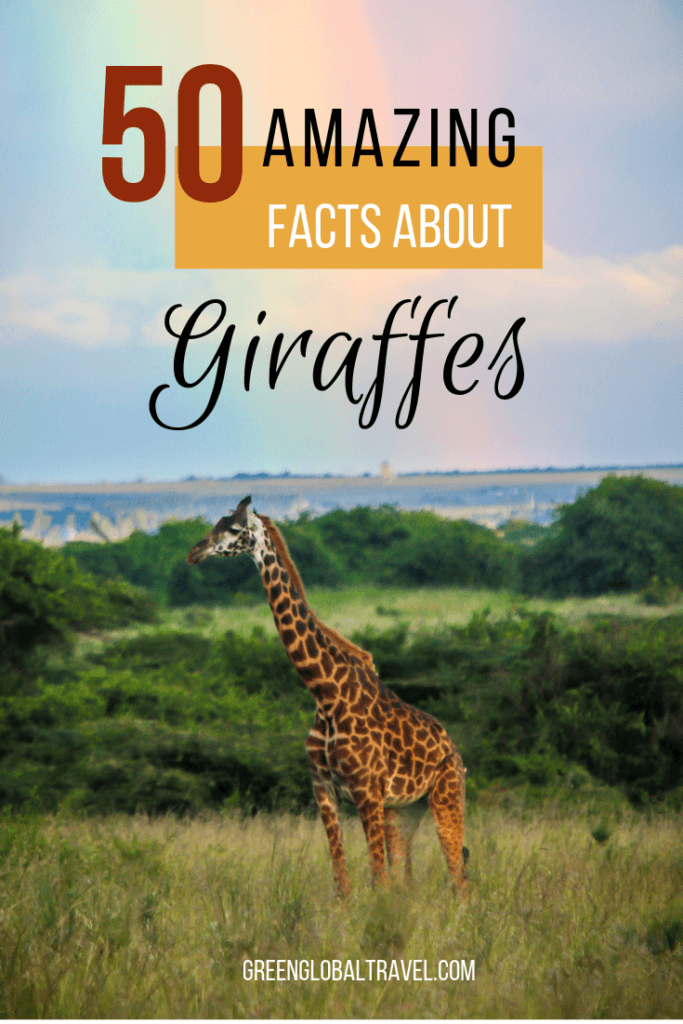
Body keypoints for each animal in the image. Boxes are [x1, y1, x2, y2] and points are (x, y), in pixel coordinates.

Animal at [187, 496, 468, 897]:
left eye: (235, 528)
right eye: (216, 523)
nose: (195, 552)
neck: (325, 694)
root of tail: (455, 750)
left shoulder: (367, 793)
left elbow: (377, 879)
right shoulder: (323, 791)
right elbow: (343, 882)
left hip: (446, 795)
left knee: (459, 878)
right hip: (405, 812)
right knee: (408, 878)